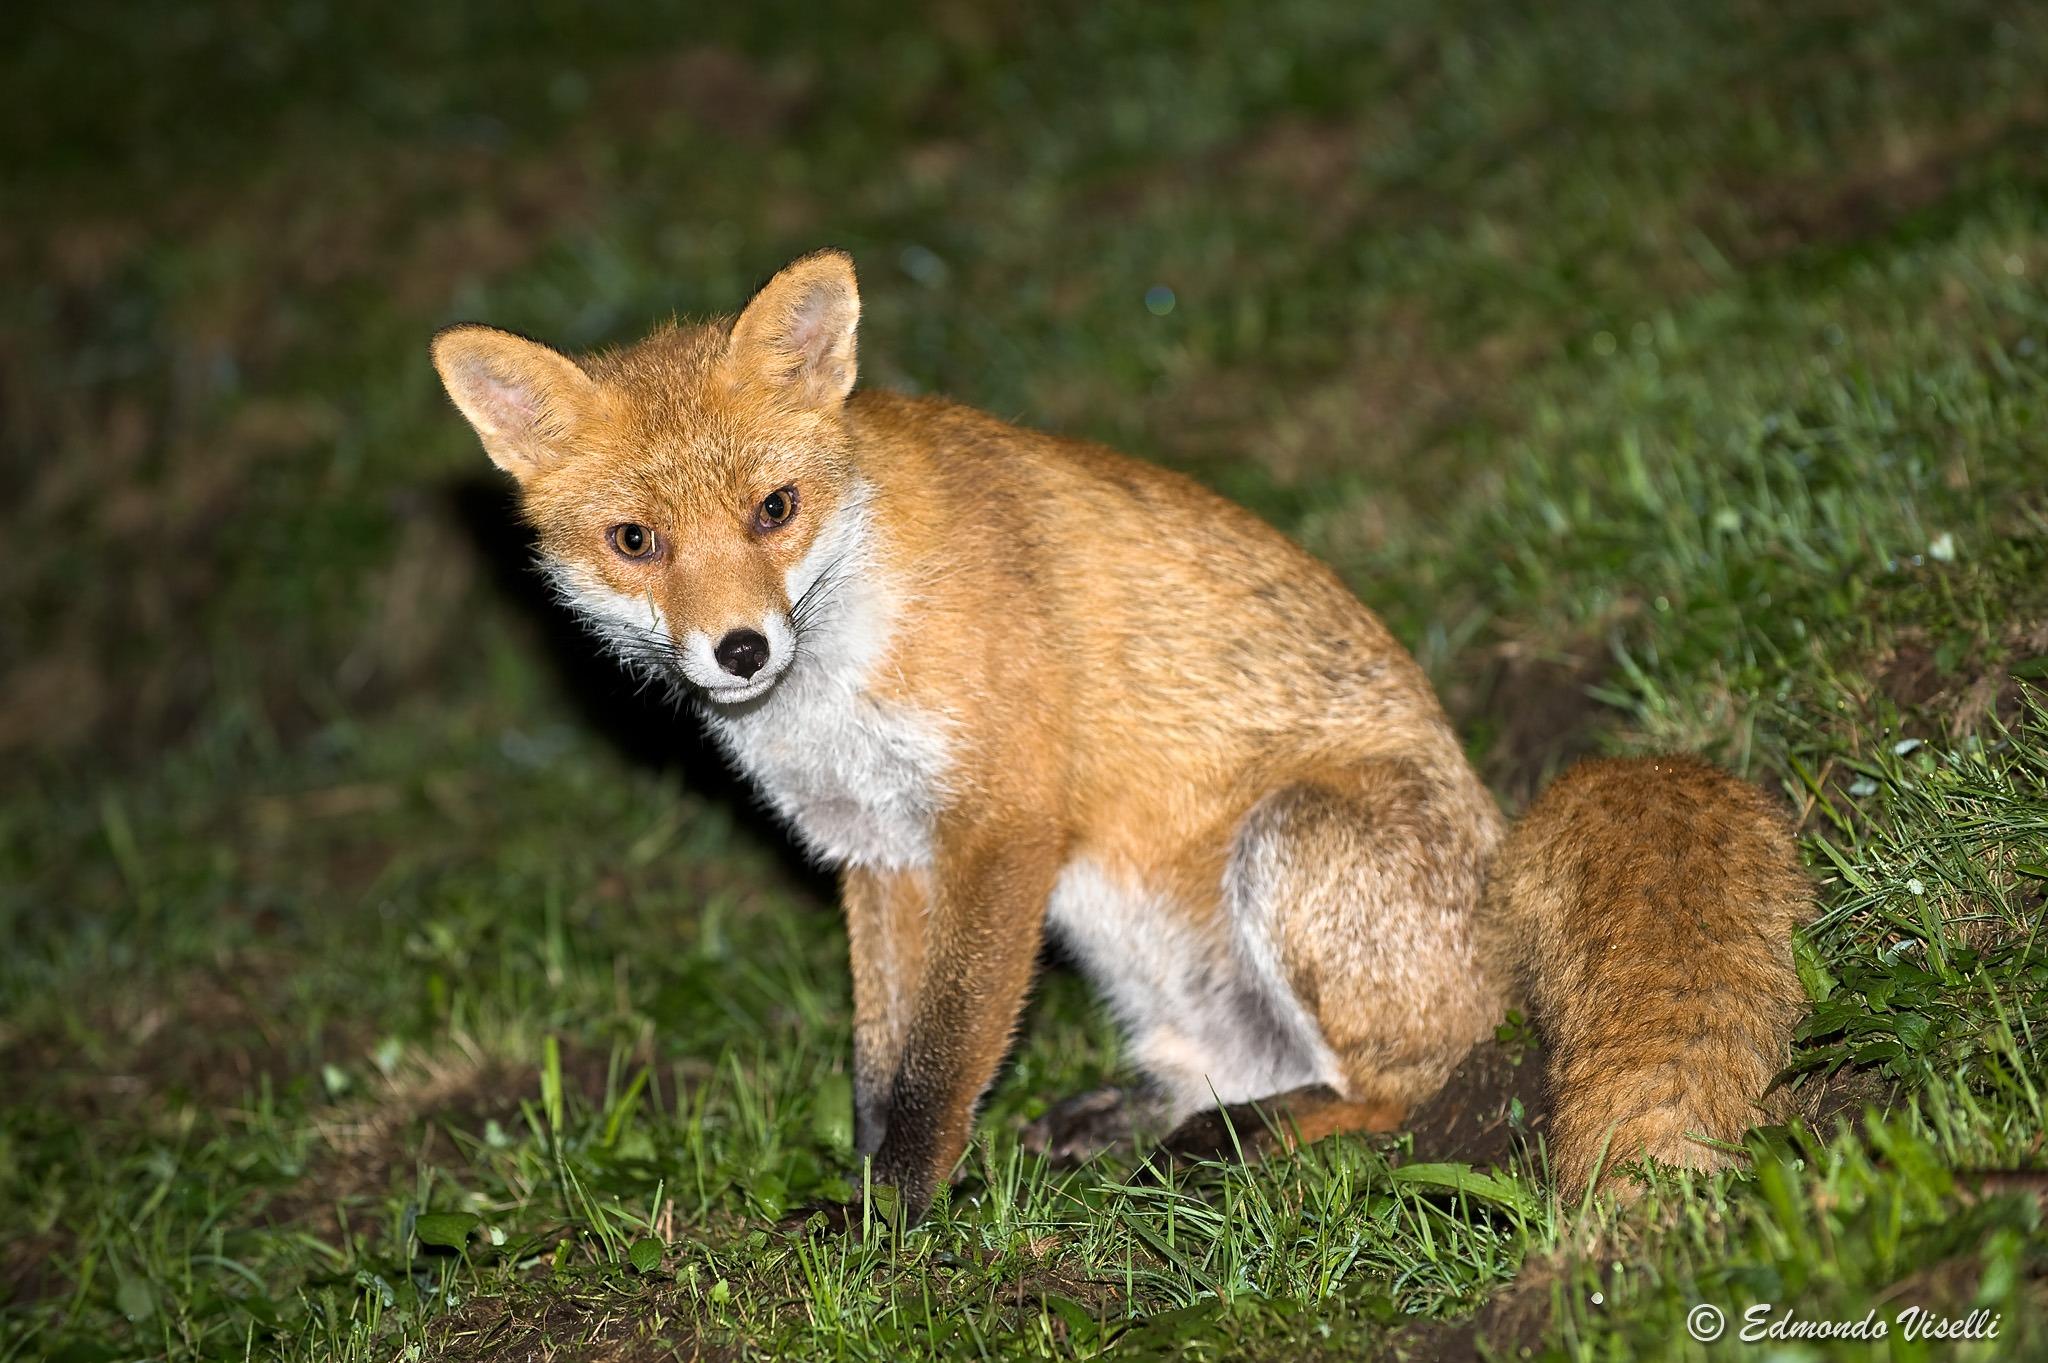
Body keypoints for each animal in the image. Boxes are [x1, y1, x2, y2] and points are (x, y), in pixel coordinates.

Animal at [430, 249, 1813, 1224]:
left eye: (775, 509)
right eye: (636, 542)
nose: (738, 652)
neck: (836, 680)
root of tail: (1505, 864)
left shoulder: (999, 825)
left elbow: (940, 1058)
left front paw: (892, 1221)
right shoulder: (875, 852)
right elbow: (879, 1063)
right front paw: (875, 1184)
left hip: (1290, 844)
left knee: (1413, 1084)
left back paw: (1246, 1141)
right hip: (1124, 936)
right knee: (1238, 1063)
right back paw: (1140, 1119)